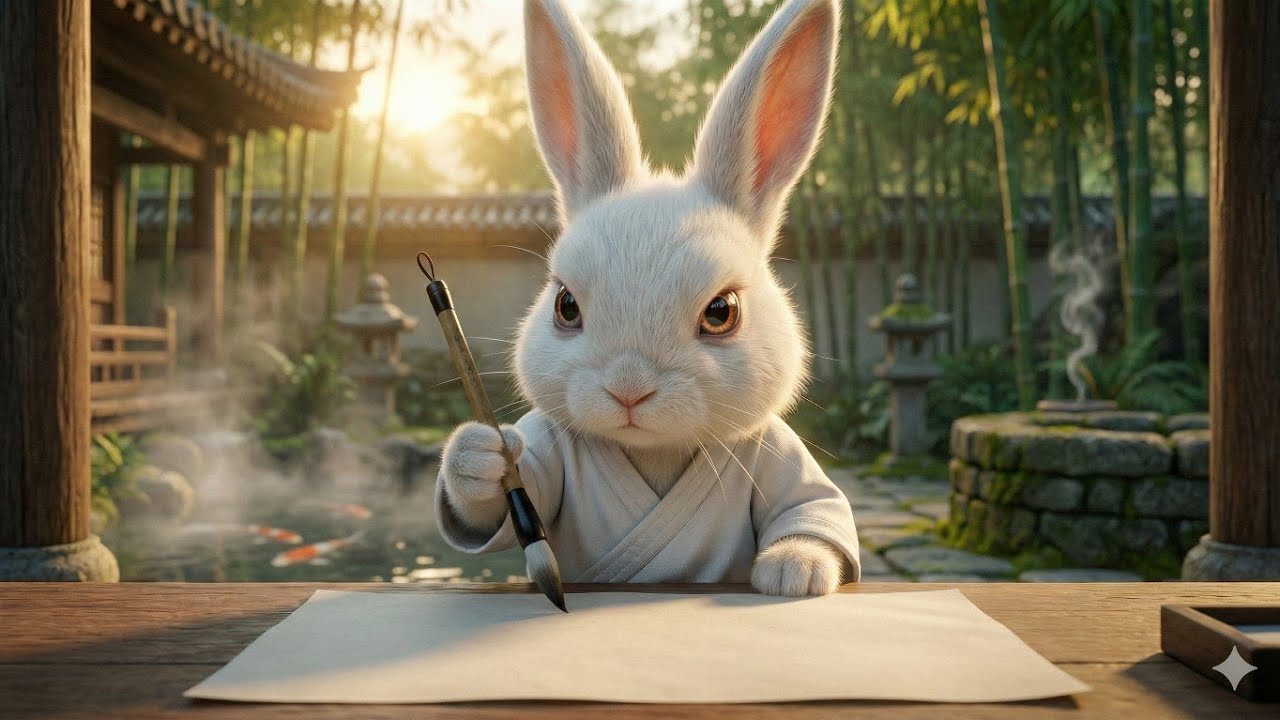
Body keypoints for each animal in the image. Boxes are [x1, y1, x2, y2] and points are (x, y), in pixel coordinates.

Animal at [436, 0, 859, 597]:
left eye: (722, 312)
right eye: (566, 306)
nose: (629, 390)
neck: (654, 451)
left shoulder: (778, 453)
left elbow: (812, 506)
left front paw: (794, 570)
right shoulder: (546, 454)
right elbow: (496, 501)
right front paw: (477, 458)